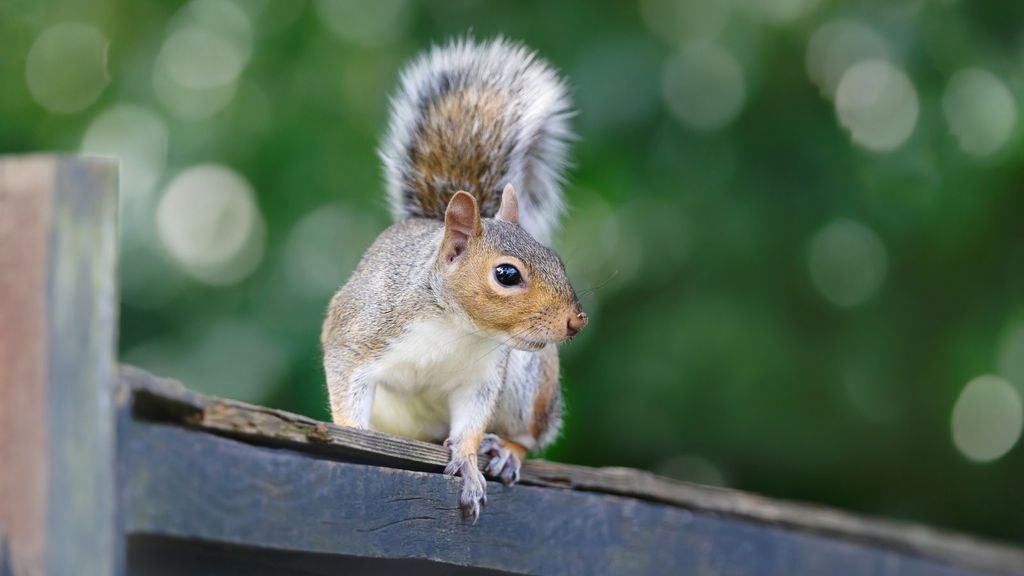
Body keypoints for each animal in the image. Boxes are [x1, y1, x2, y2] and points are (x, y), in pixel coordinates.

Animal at [321, 38, 587, 521]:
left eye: (556, 258)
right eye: (506, 273)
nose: (576, 320)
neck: (456, 326)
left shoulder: (482, 377)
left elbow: (470, 424)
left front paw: (466, 462)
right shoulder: (358, 333)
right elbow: (347, 386)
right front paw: (353, 435)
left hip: (530, 384)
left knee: (530, 433)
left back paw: (506, 451)